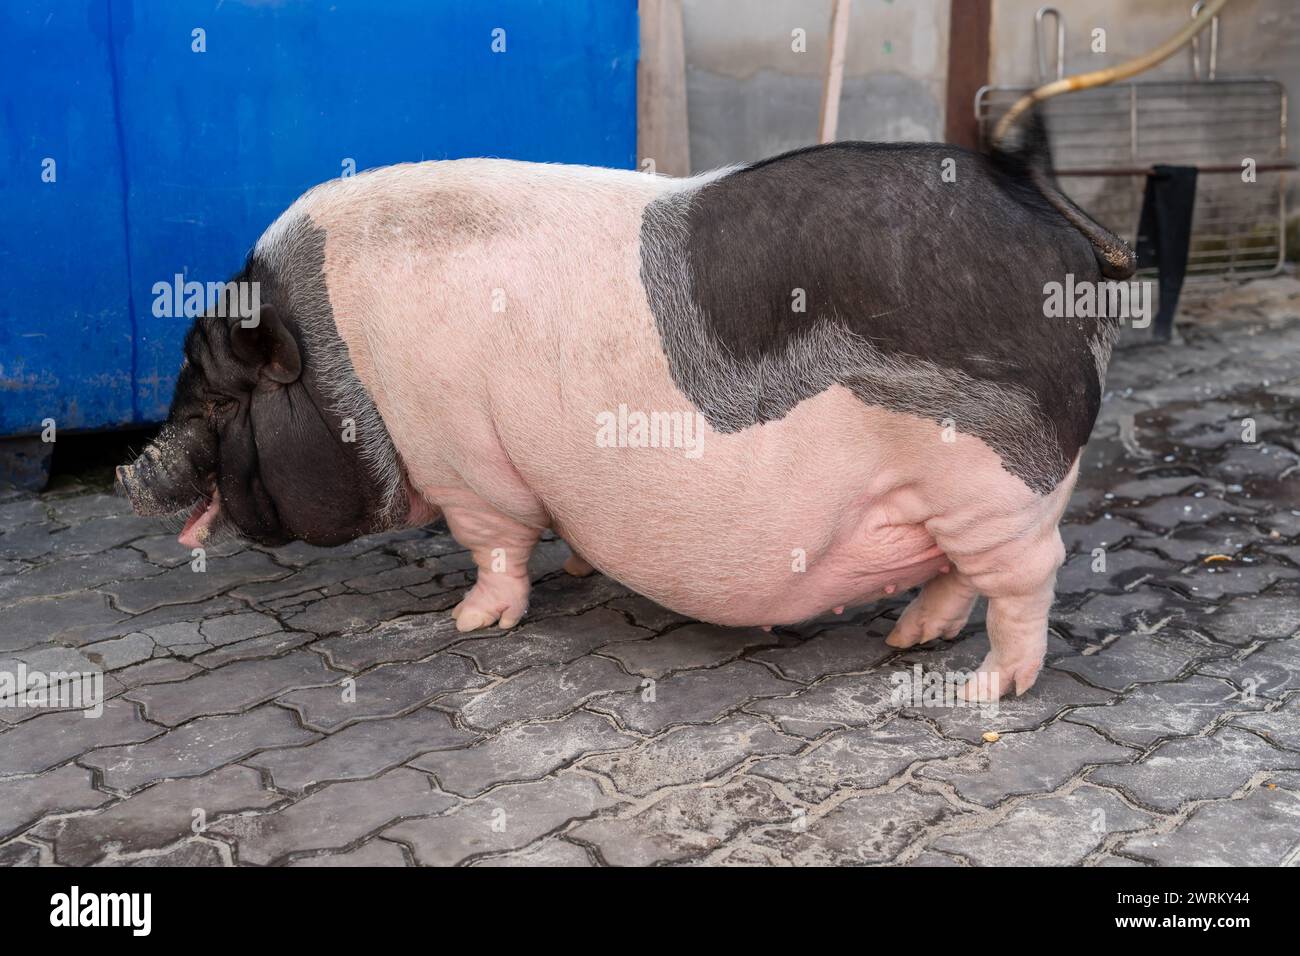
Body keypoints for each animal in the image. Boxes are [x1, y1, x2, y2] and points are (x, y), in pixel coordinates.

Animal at [118, 117, 1133, 699]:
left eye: (220, 392)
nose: (130, 470)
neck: (351, 366)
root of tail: (1037, 204)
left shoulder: (465, 464)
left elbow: (495, 546)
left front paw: (470, 623)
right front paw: (573, 572)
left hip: (994, 476)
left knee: (1029, 576)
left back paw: (986, 689)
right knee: (960, 575)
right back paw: (909, 636)